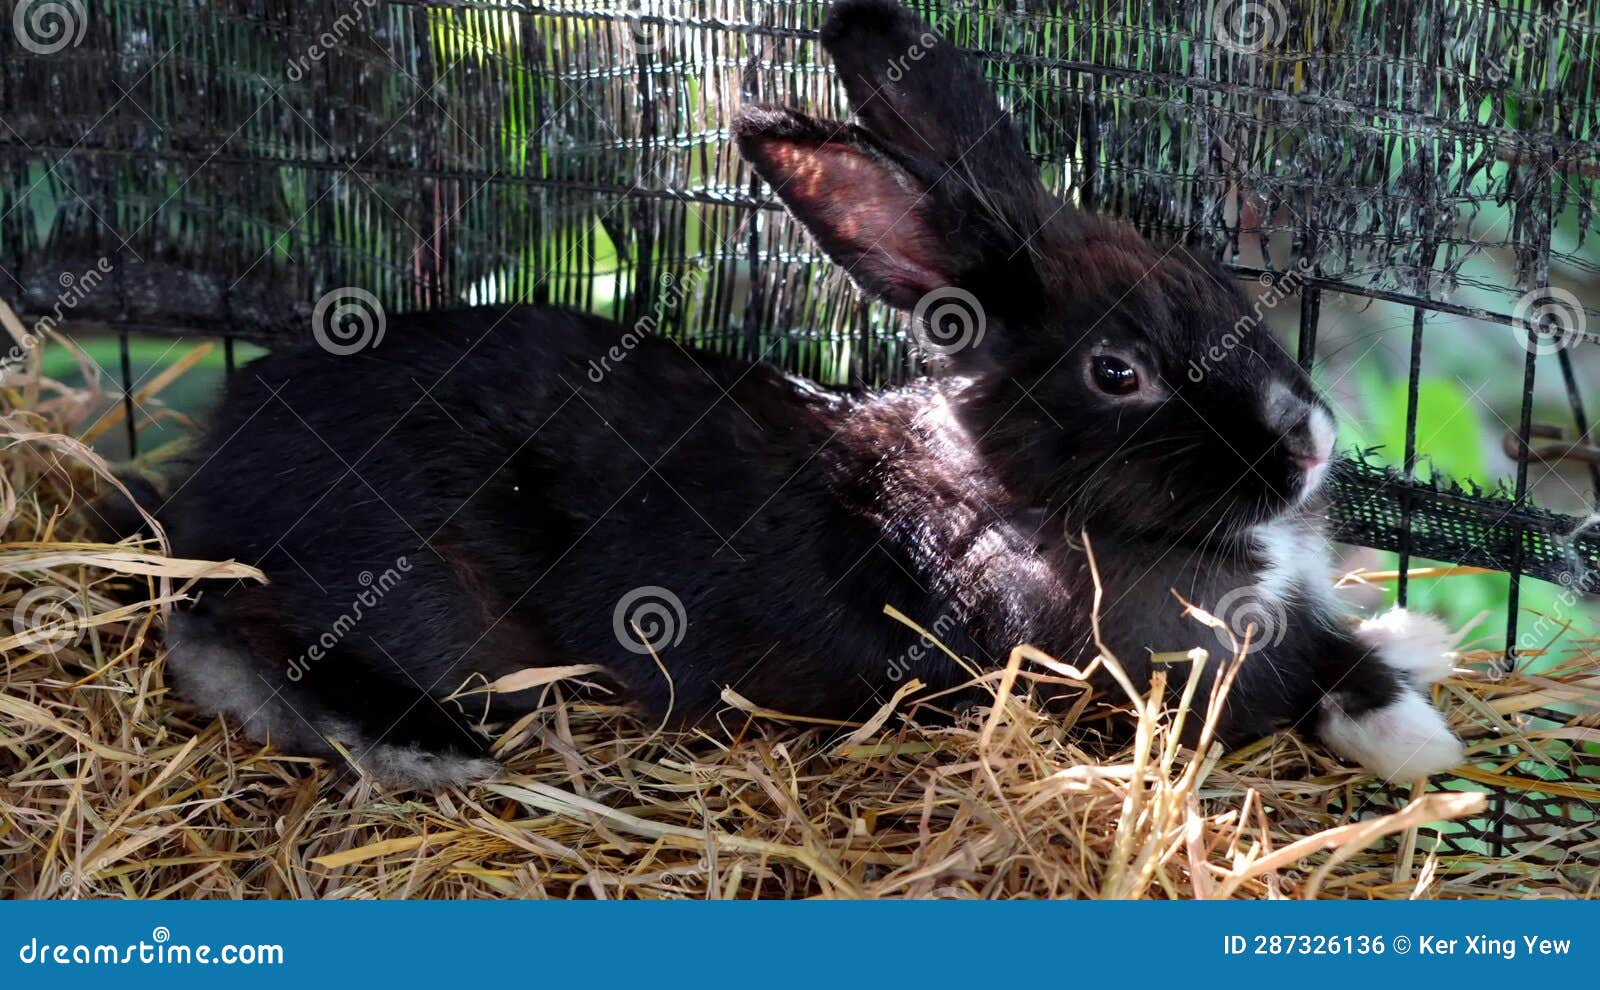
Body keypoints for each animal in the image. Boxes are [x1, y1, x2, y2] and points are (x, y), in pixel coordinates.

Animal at [159, 0, 1465, 789]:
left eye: (1209, 277)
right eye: (1117, 372)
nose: (1310, 441)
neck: (1011, 492)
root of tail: (210, 480)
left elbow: (1337, 628)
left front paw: (1419, 633)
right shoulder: (1160, 664)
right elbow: (1303, 681)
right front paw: (1418, 737)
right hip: (411, 591)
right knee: (237, 635)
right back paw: (425, 745)